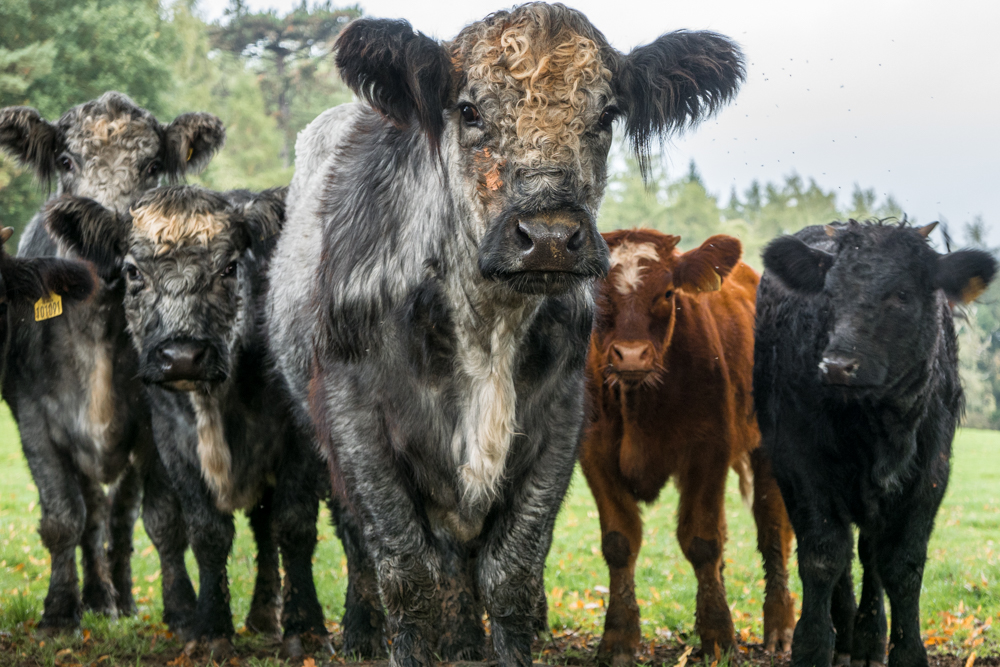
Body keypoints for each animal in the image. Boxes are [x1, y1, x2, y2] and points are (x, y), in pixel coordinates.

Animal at [0, 92, 224, 631]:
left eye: (151, 166)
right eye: (66, 160)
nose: (106, 254)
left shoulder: (156, 421)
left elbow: (163, 520)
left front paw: (180, 607)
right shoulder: (33, 420)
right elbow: (63, 518)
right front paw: (60, 611)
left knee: (119, 517)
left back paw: (118, 596)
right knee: (94, 513)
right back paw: (97, 596)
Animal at [44, 185, 331, 659]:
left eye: (230, 267)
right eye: (133, 271)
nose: (181, 356)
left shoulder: (299, 441)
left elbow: (293, 525)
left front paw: (306, 629)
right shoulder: (172, 444)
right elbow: (207, 533)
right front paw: (212, 629)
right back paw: (260, 615)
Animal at [265, 4, 745, 665]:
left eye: (606, 114)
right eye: (469, 110)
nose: (549, 237)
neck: (486, 325)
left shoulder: (560, 423)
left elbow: (511, 573)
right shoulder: (356, 420)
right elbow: (406, 573)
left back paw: (465, 642)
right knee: (363, 545)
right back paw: (363, 635)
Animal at [581, 228, 795, 663]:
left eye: (667, 292)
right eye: (599, 292)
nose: (631, 355)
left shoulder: (708, 450)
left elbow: (702, 542)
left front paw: (719, 636)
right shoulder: (594, 454)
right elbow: (619, 541)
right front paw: (619, 636)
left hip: (767, 447)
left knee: (772, 529)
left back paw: (779, 625)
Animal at [753, 220, 998, 667]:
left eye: (901, 294)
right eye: (829, 293)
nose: (837, 366)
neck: (877, 425)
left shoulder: (930, 473)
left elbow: (902, 564)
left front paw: (907, 650)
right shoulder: (799, 464)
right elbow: (823, 556)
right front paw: (813, 645)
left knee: (870, 553)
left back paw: (868, 639)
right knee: (847, 555)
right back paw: (848, 639)